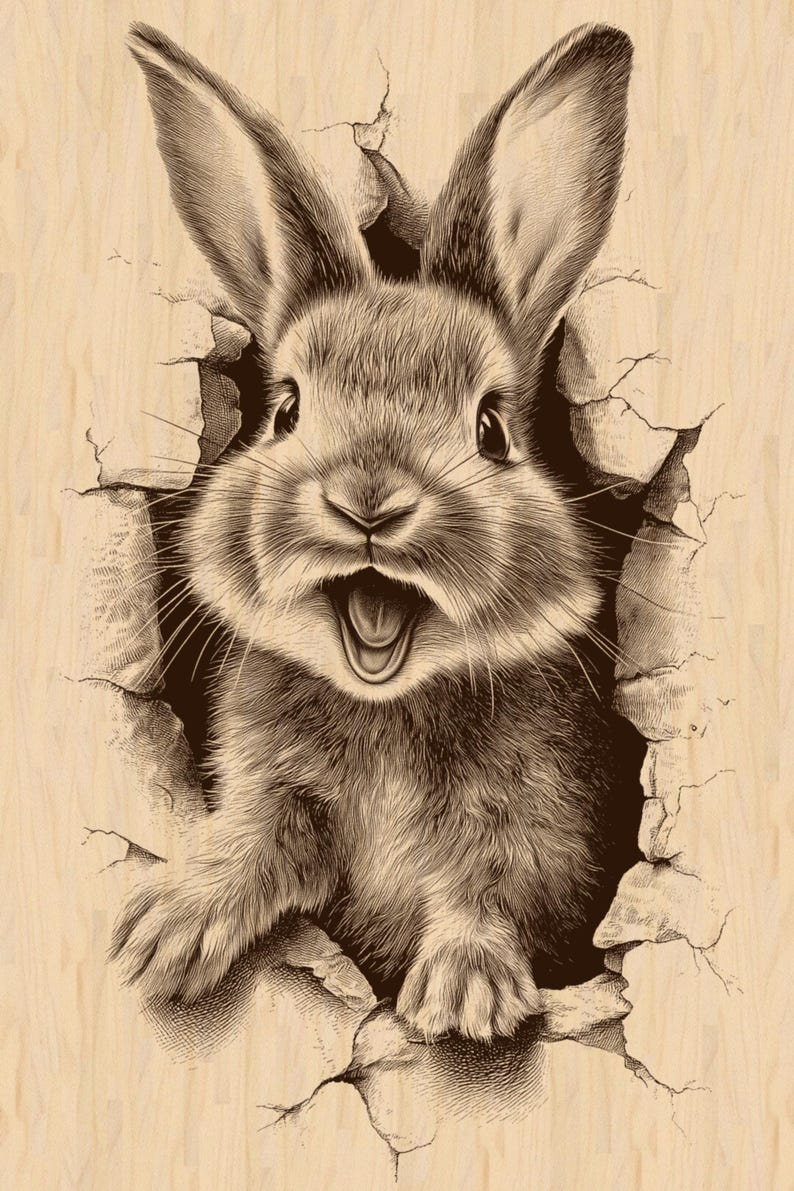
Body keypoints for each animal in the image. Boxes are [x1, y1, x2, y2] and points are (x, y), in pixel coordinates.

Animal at [110, 22, 633, 1041]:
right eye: (284, 410)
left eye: (492, 429)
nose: (368, 499)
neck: (388, 704)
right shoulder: (277, 793)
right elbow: (254, 844)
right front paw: (166, 930)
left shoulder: (539, 830)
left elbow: (490, 889)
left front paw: (467, 992)